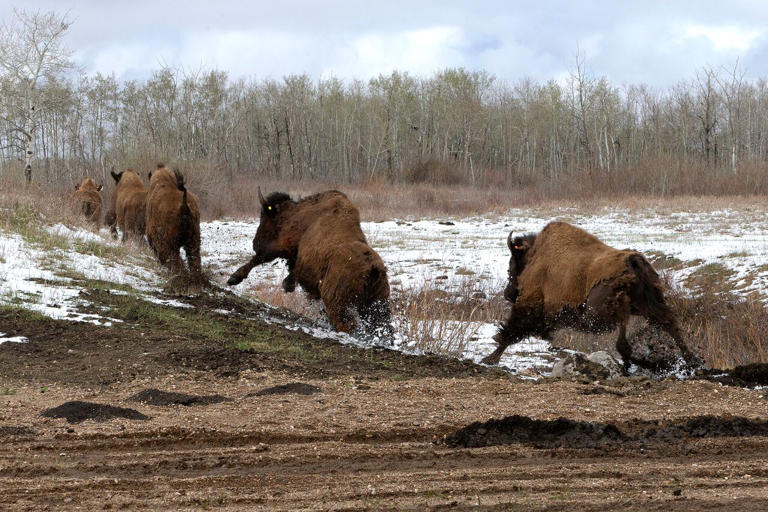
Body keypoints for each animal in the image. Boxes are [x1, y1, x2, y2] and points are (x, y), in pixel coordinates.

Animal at [227, 189, 391, 335]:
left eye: (265, 217)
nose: (255, 244)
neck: (295, 214)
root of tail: (373, 268)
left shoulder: (284, 247)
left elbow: (259, 258)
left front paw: (233, 278)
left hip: (340, 304)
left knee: (346, 325)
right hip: (378, 305)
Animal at [482, 221, 699, 369]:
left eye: (512, 266)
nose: (508, 293)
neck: (535, 255)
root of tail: (633, 261)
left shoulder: (531, 302)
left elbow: (511, 331)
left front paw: (490, 359)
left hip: (604, 309)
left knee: (624, 337)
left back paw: (636, 361)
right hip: (648, 303)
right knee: (669, 324)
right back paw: (692, 362)